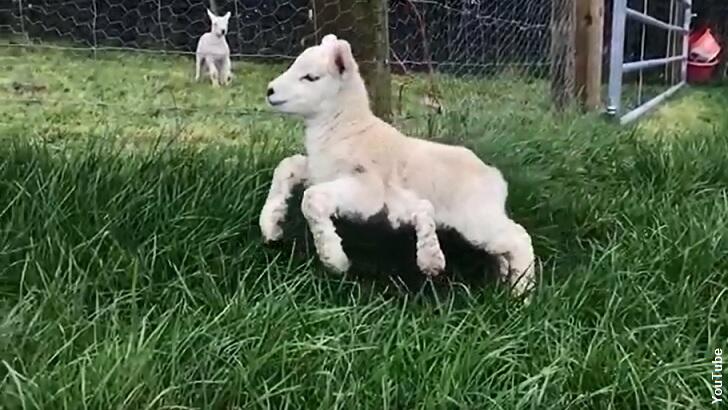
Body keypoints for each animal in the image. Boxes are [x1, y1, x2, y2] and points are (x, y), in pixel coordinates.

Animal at [259, 34, 536, 301]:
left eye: (311, 77)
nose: (270, 90)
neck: (346, 129)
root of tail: (494, 177)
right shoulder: (321, 171)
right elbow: (286, 166)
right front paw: (271, 225)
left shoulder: (368, 190)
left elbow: (311, 199)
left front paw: (335, 260)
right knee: (506, 249)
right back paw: (505, 280)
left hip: (476, 219)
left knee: (519, 238)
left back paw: (521, 295)